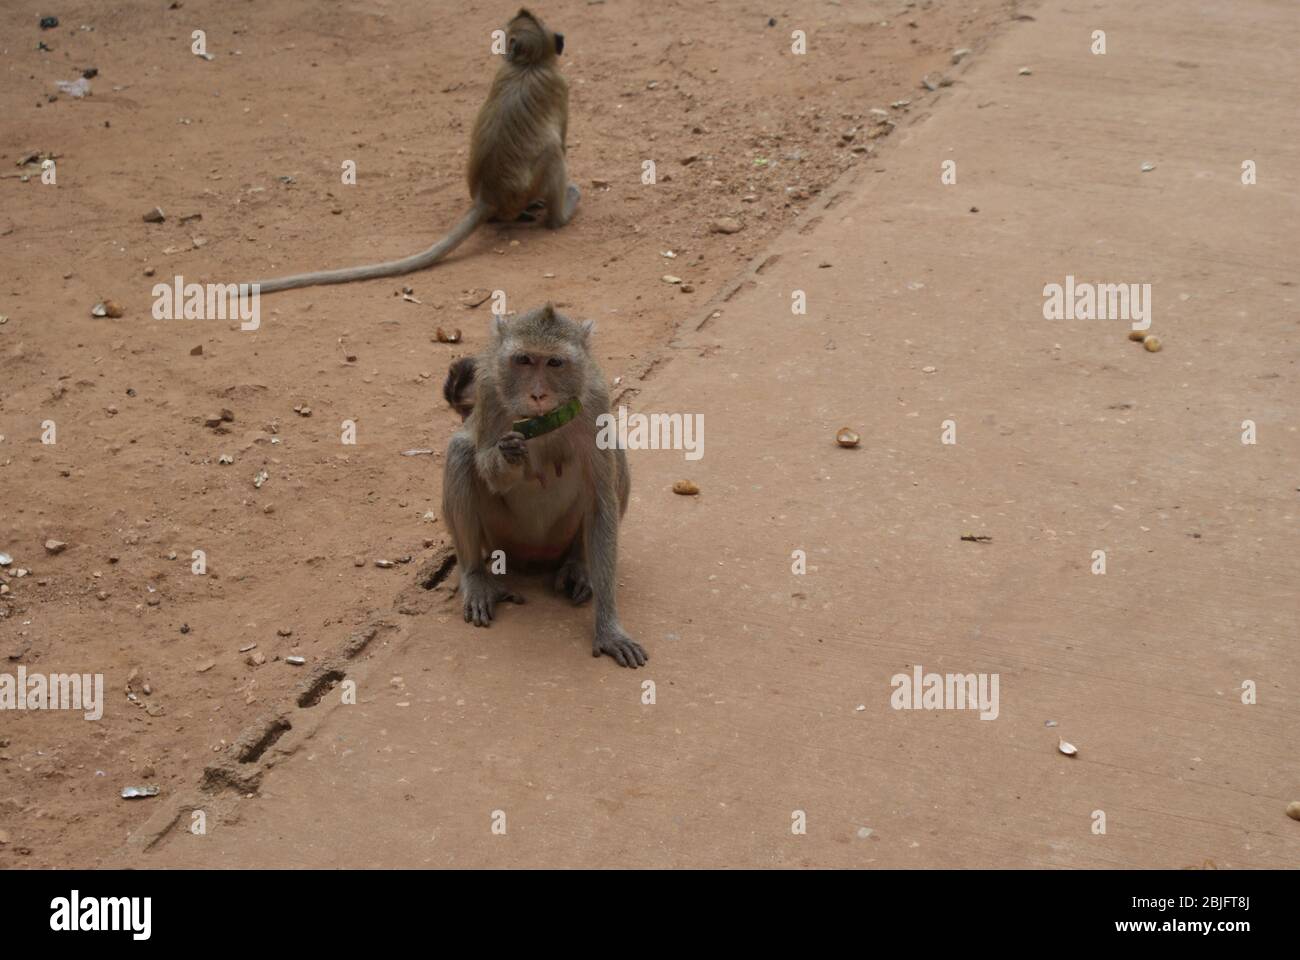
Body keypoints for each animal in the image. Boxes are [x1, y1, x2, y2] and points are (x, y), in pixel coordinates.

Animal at [244, 9, 579, 294]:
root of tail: (487, 196)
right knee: (553, 152)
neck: (526, 65)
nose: (562, 36)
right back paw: (559, 215)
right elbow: (561, 142)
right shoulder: (559, 85)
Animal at [440, 303, 647, 668]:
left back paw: (579, 564)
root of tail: (535, 558)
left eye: (554, 363)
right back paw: (475, 577)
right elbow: (485, 463)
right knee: (460, 452)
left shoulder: (595, 399)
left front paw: (608, 628)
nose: (537, 394)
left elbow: (602, 502)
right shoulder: (488, 389)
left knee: (615, 456)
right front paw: (508, 456)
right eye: (524, 360)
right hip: (501, 538)